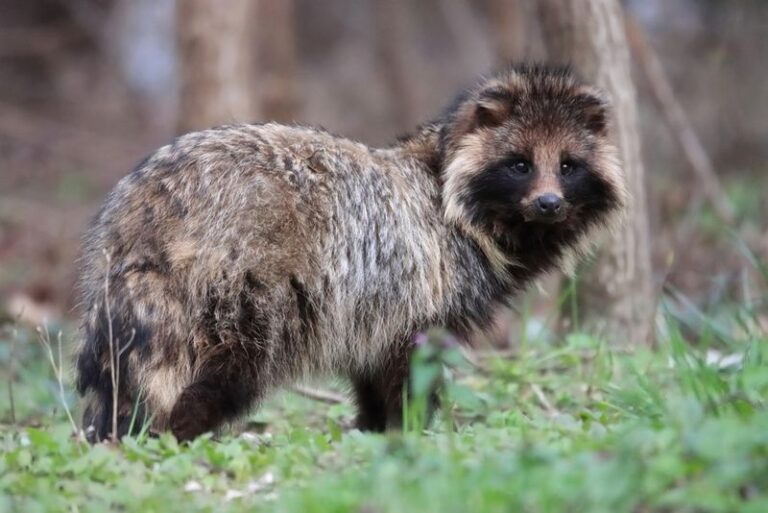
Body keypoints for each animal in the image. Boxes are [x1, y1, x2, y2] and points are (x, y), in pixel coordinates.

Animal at [75, 65, 626, 442]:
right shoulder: (420, 280)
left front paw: (373, 428)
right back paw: (185, 426)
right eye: (520, 164)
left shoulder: (375, 303)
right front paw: (412, 427)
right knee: (227, 368)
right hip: (240, 282)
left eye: (568, 165)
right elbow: (409, 370)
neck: (440, 180)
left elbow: (371, 366)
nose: (549, 203)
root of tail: (145, 207)